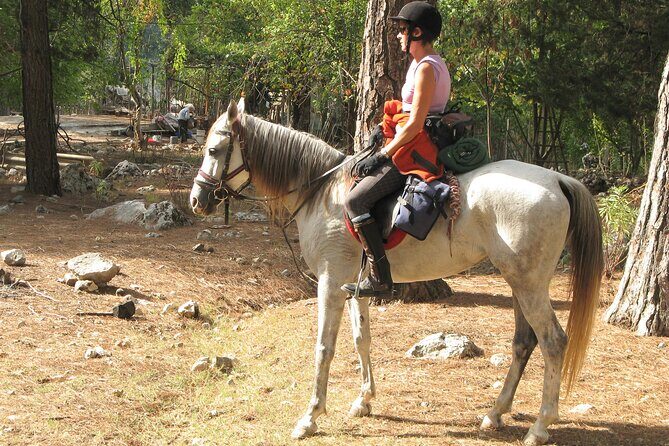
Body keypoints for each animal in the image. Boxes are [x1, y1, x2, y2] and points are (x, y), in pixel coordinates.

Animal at [189, 99, 603, 446]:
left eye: (213, 151)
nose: (197, 200)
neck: (322, 193)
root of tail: (558, 180)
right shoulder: (354, 286)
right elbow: (362, 340)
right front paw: (364, 400)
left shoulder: (329, 283)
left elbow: (324, 348)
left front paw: (310, 416)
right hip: (519, 283)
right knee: (523, 343)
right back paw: (495, 413)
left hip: (529, 285)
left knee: (553, 342)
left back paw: (539, 426)